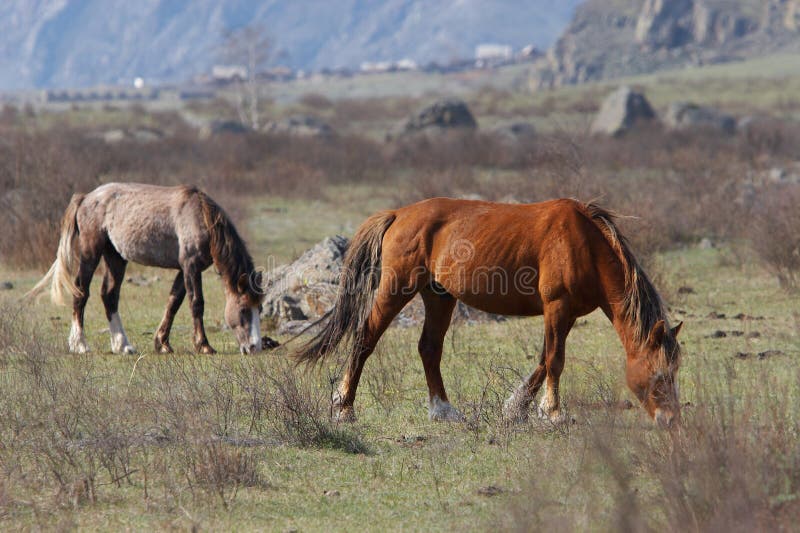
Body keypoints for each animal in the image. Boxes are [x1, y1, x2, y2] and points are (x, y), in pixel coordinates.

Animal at [27, 183, 265, 355]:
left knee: (109, 296)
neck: (200, 217)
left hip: (115, 257)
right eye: (243, 310)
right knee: (81, 293)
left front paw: (162, 343)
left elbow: (173, 302)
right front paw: (203, 345)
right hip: (90, 252)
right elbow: (196, 303)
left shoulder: (183, 269)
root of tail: (86, 198)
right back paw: (80, 345)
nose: (254, 347)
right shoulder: (190, 266)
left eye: (259, 309)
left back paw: (122, 345)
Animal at [295, 197, 683, 427]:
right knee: (365, 338)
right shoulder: (557, 307)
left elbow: (543, 359)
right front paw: (552, 412)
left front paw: (517, 407)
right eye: (659, 375)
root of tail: (398, 215)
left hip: (439, 296)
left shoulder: (567, 314)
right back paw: (344, 407)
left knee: (429, 349)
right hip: (396, 288)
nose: (670, 419)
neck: (583, 242)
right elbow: (555, 360)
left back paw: (444, 410)